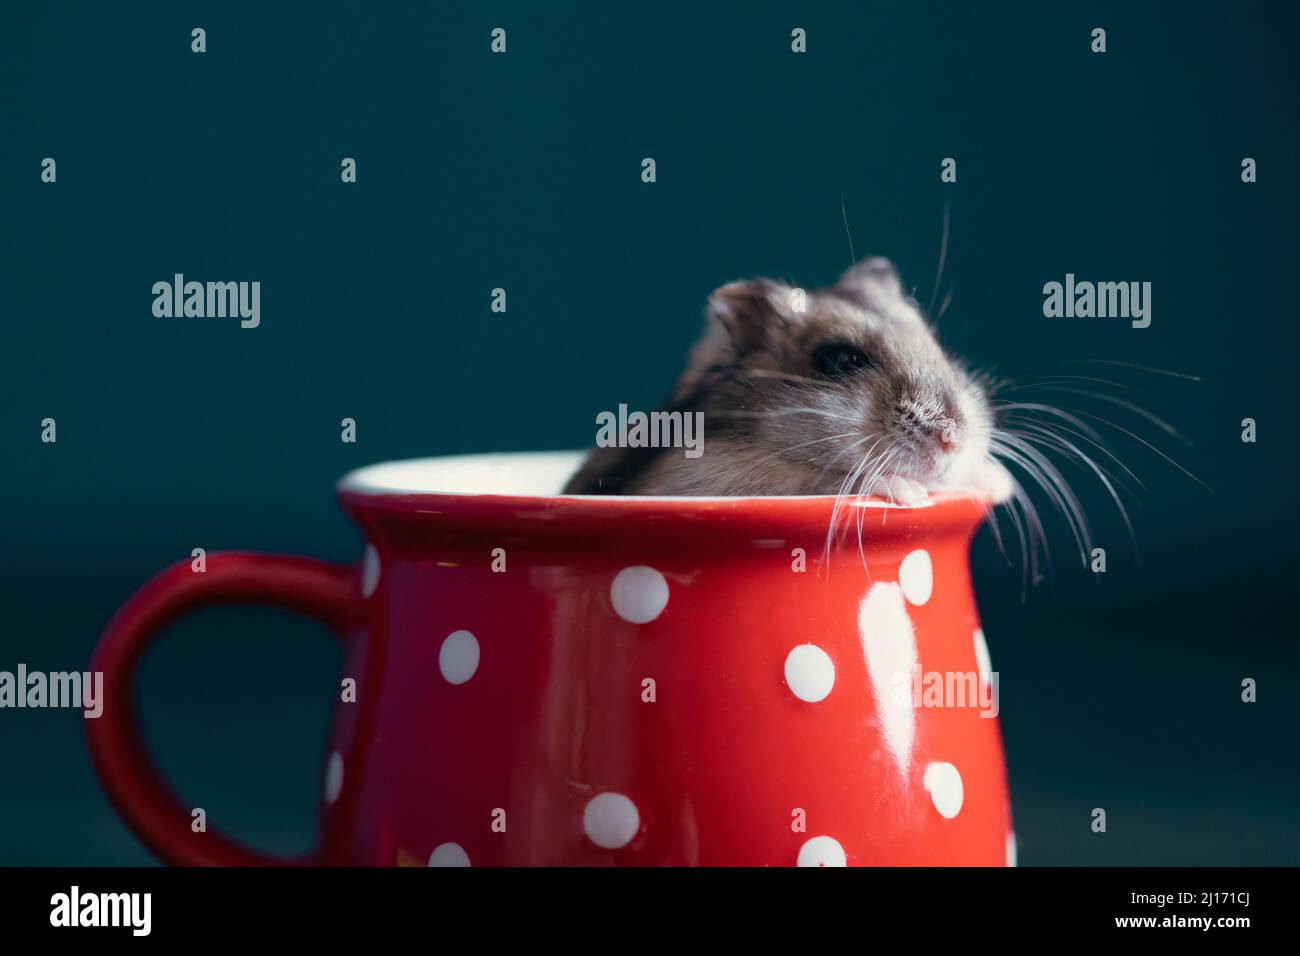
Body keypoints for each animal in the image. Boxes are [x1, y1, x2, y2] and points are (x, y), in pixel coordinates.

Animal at [563, 257, 1013, 506]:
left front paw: (997, 482)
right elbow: (813, 477)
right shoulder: (686, 480)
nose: (953, 441)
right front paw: (908, 491)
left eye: (939, 347)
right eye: (838, 359)